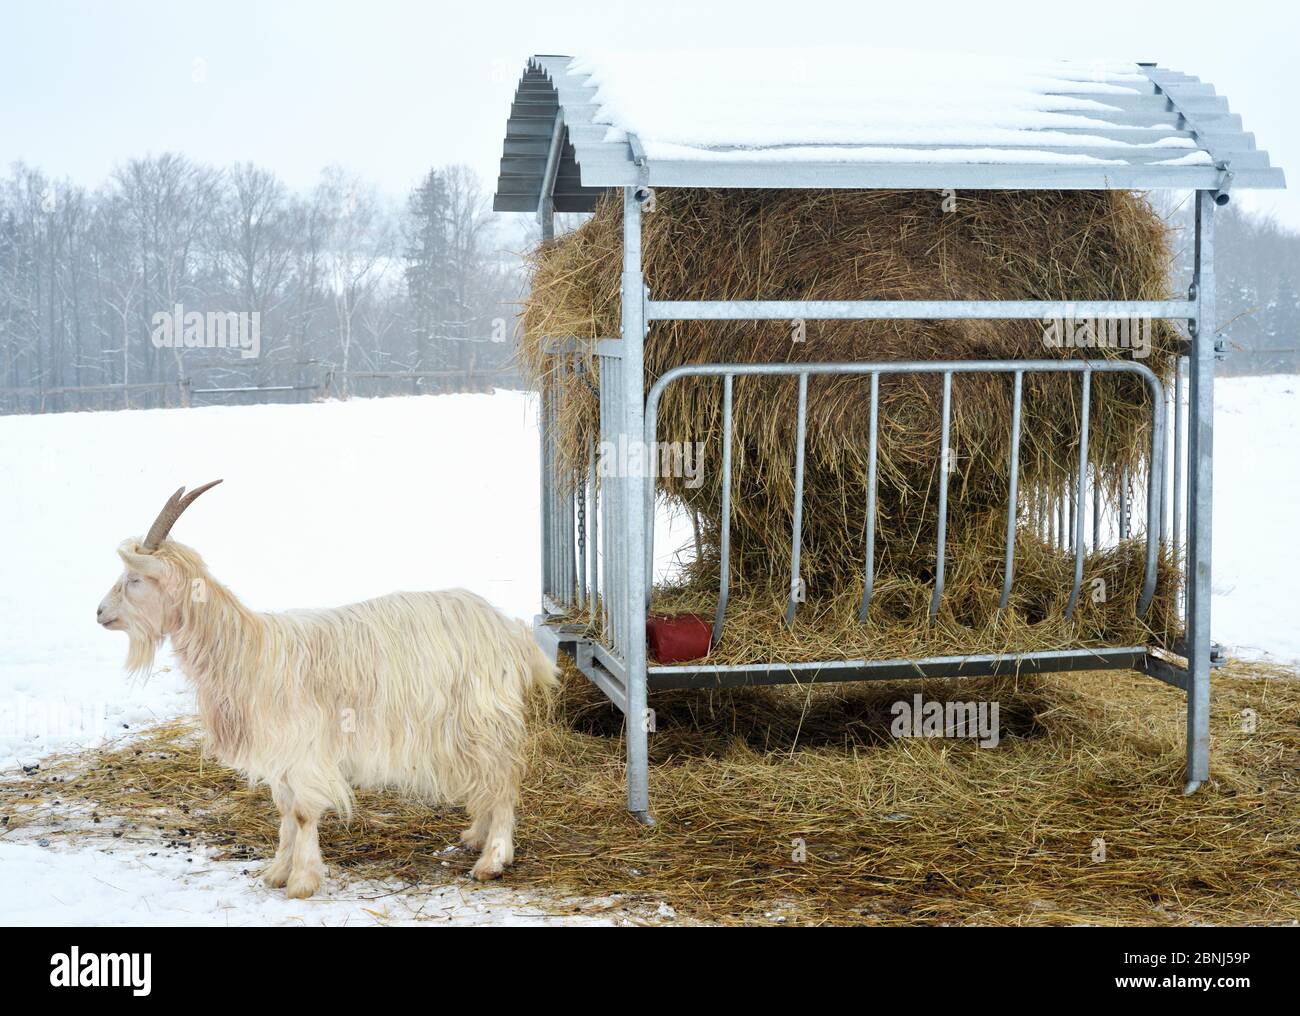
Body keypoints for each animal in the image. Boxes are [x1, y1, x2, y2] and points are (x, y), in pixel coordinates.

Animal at [97, 481, 558, 897]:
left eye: (134, 579)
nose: (100, 613)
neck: (248, 652)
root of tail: (509, 630)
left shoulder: (304, 748)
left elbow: (302, 813)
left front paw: (302, 882)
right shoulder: (280, 752)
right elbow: (284, 810)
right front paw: (278, 872)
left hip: (483, 718)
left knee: (502, 781)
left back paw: (493, 860)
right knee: (486, 781)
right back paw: (475, 836)